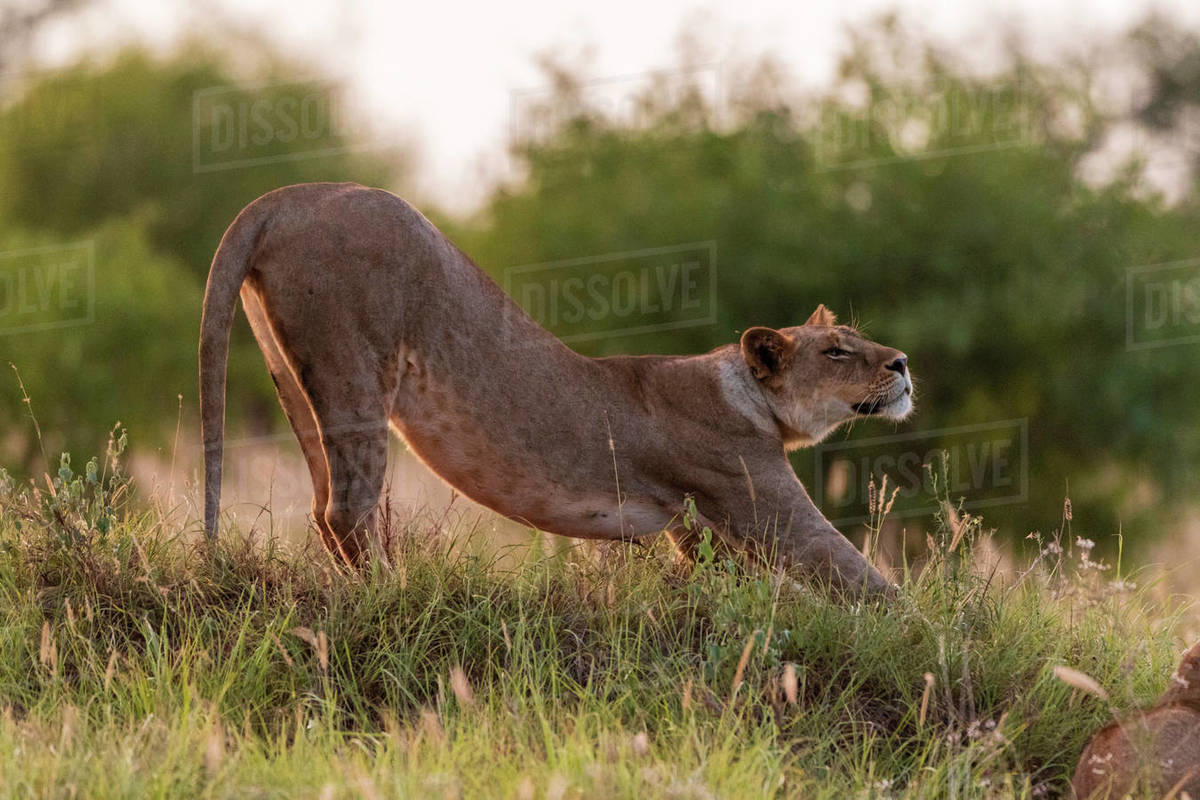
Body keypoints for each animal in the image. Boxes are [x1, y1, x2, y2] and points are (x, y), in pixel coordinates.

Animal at [199, 182, 913, 597]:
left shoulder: (697, 528)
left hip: (295, 378)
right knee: (347, 507)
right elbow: (866, 583)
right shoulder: (762, 503)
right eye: (837, 351)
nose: (904, 363)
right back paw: (389, 592)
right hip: (355, 367)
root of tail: (286, 195)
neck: (750, 396)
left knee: (324, 504)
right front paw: (928, 638)